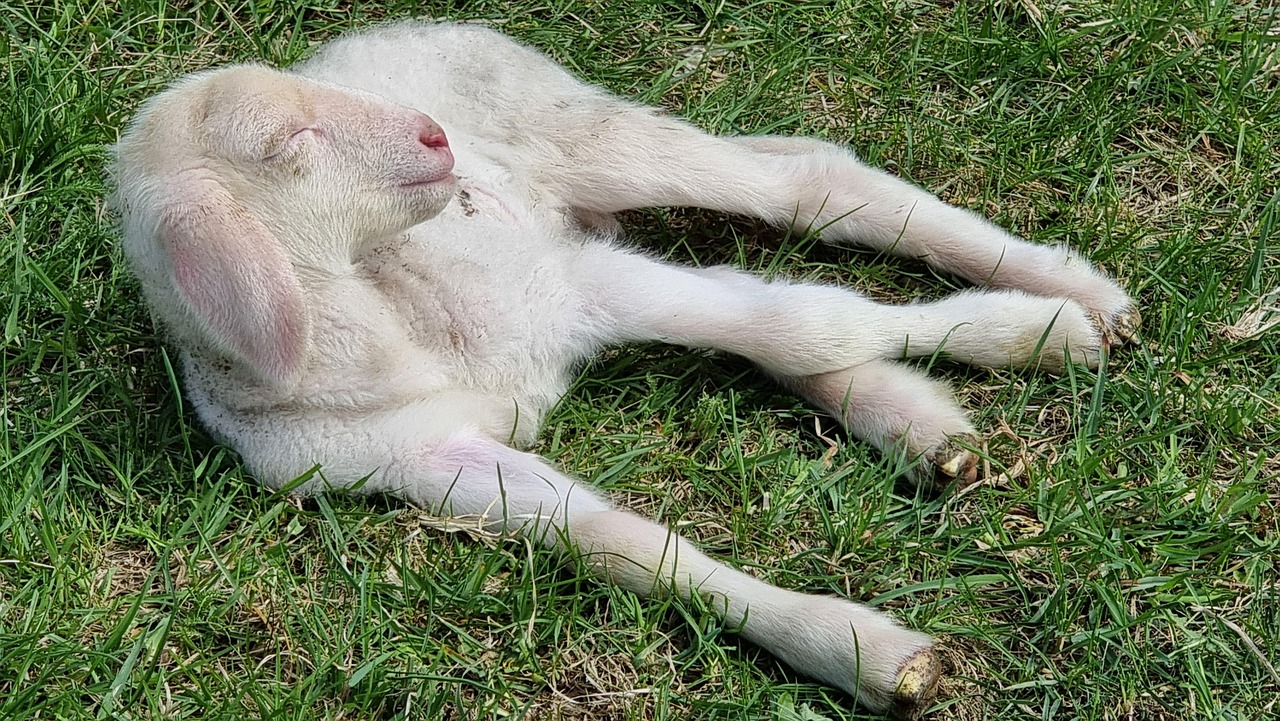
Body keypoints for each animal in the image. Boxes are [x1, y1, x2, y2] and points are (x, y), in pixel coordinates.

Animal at [110, 20, 1139, 720]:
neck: (394, 325)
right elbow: (625, 544)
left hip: (586, 141)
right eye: (289, 144)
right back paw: (923, 426)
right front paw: (863, 651)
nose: (436, 139)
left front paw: (1031, 331)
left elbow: (803, 322)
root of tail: (401, 28)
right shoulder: (423, 459)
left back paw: (1069, 295)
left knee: (808, 182)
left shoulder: (567, 286)